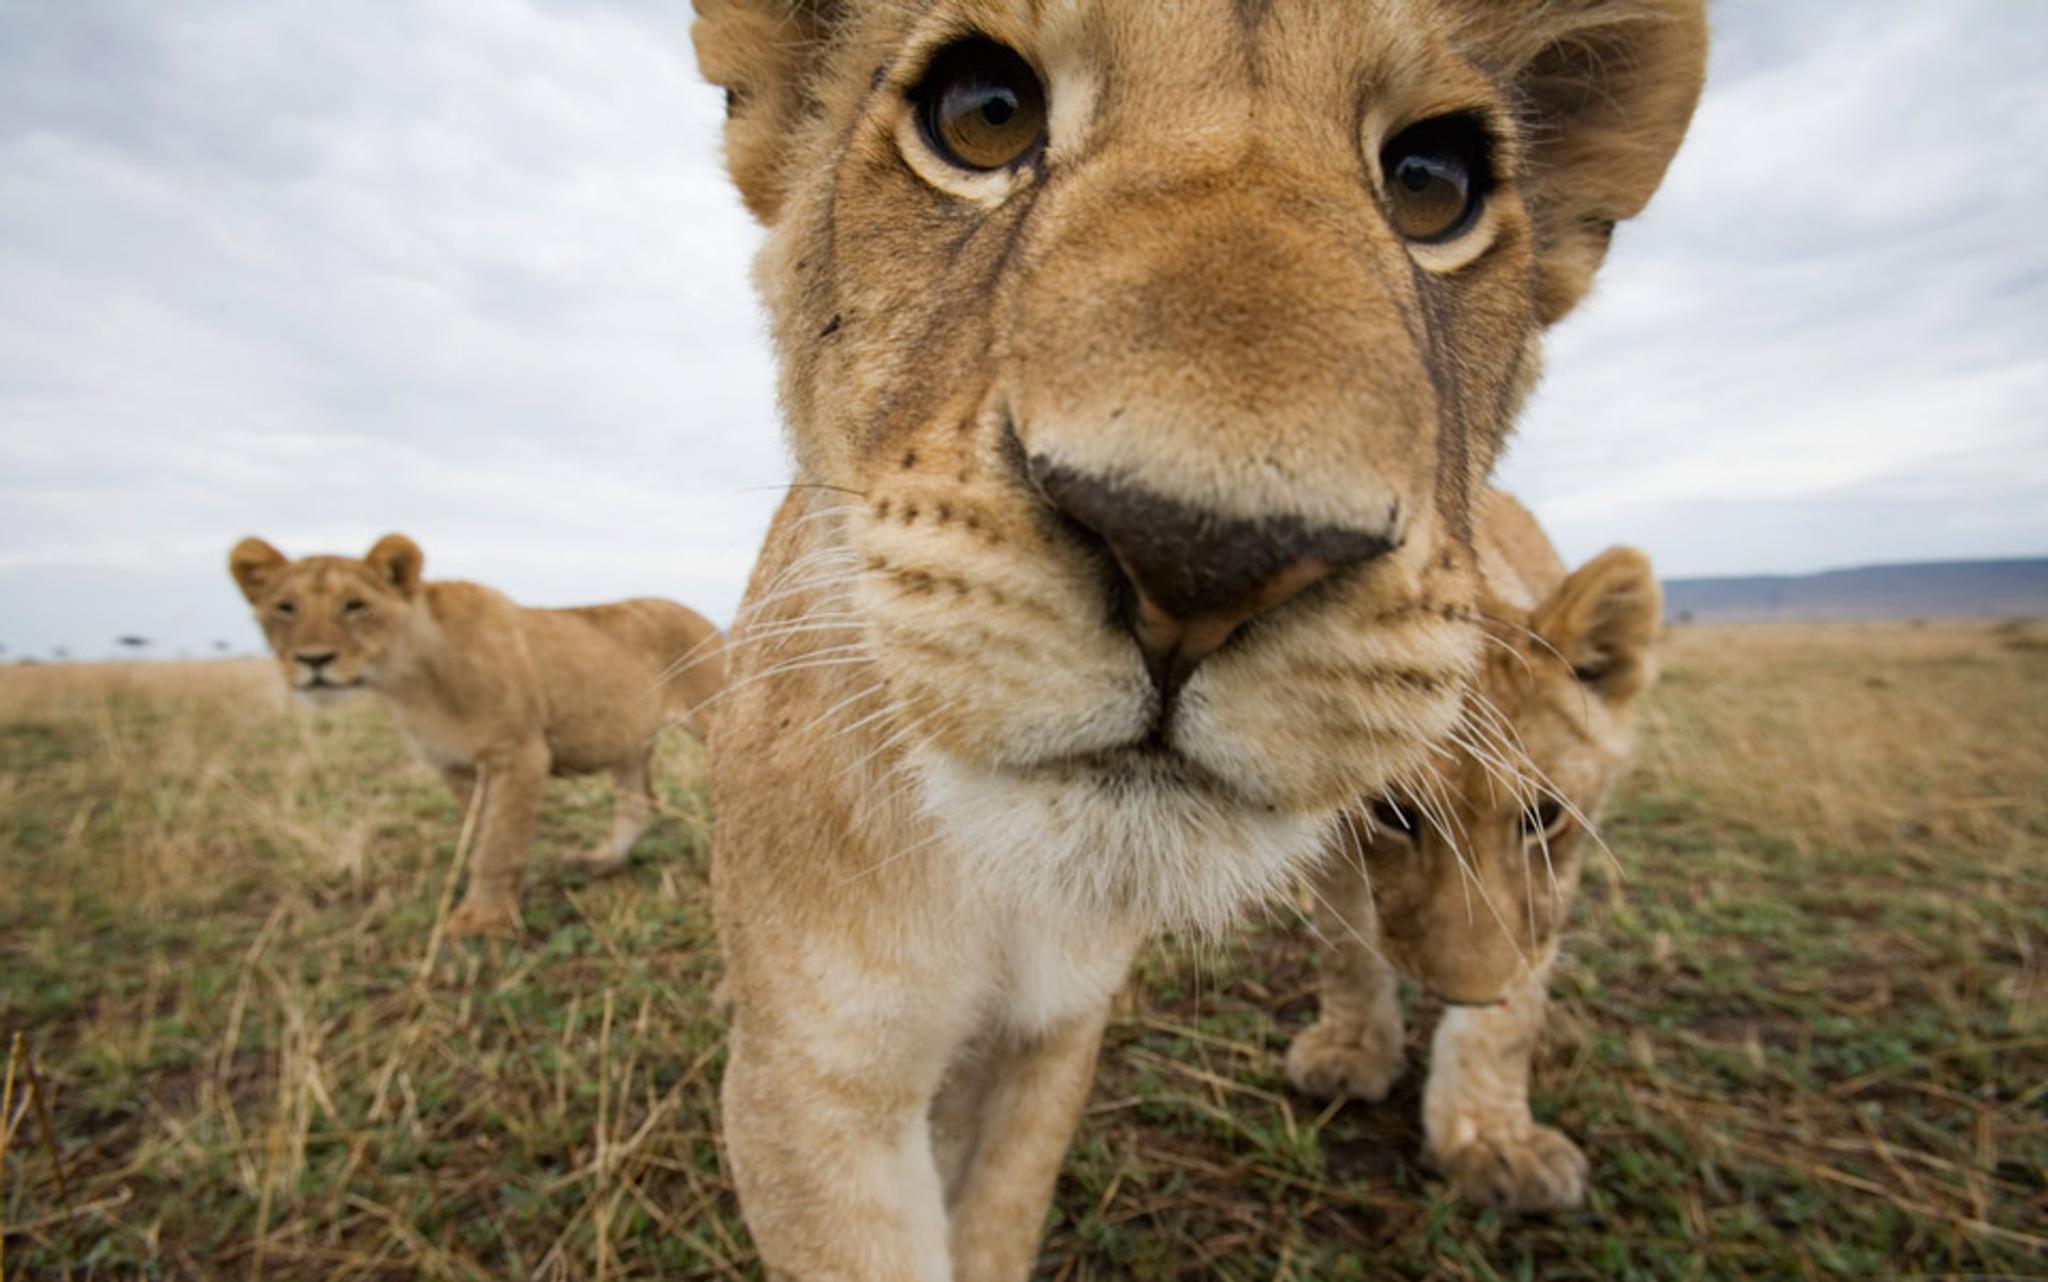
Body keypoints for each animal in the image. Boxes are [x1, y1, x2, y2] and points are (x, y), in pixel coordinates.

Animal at [228, 534, 725, 938]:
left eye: (354, 606)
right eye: (284, 608)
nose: (314, 659)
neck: (409, 678)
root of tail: (698, 614)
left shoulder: (520, 754)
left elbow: (498, 843)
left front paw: (482, 921)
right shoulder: (455, 765)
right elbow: (482, 834)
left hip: (708, 711)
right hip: (628, 740)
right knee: (638, 801)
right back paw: (602, 861)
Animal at [1286, 490, 1662, 1213]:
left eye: (1543, 817)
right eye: (1393, 813)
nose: (1468, 993)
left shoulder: (1551, 881)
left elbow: (1513, 1008)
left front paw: (1492, 1142)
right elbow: (1346, 944)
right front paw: (1351, 1052)